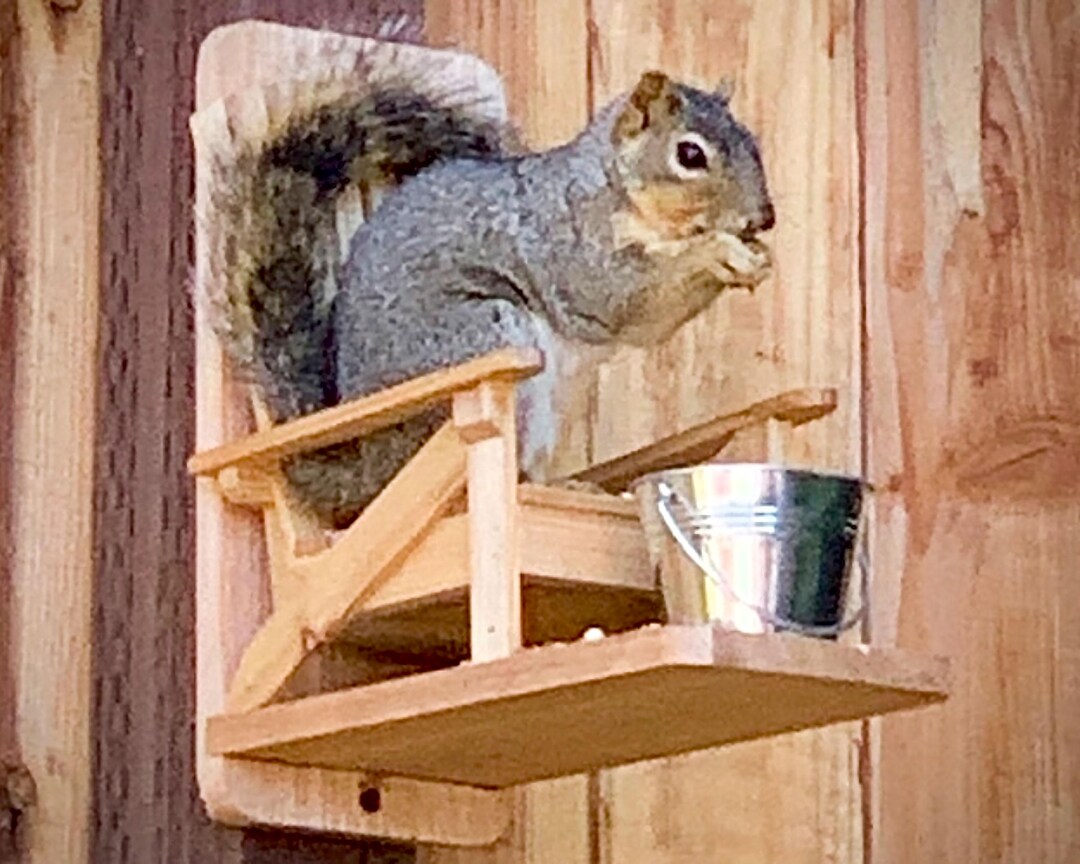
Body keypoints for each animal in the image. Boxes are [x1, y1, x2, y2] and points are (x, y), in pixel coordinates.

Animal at [205, 47, 775, 529]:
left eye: (753, 142)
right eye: (690, 155)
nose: (764, 218)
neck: (617, 191)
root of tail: (369, 476)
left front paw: (755, 258)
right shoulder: (567, 247)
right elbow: (621, 300)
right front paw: (718, 253)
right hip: (482, 336)